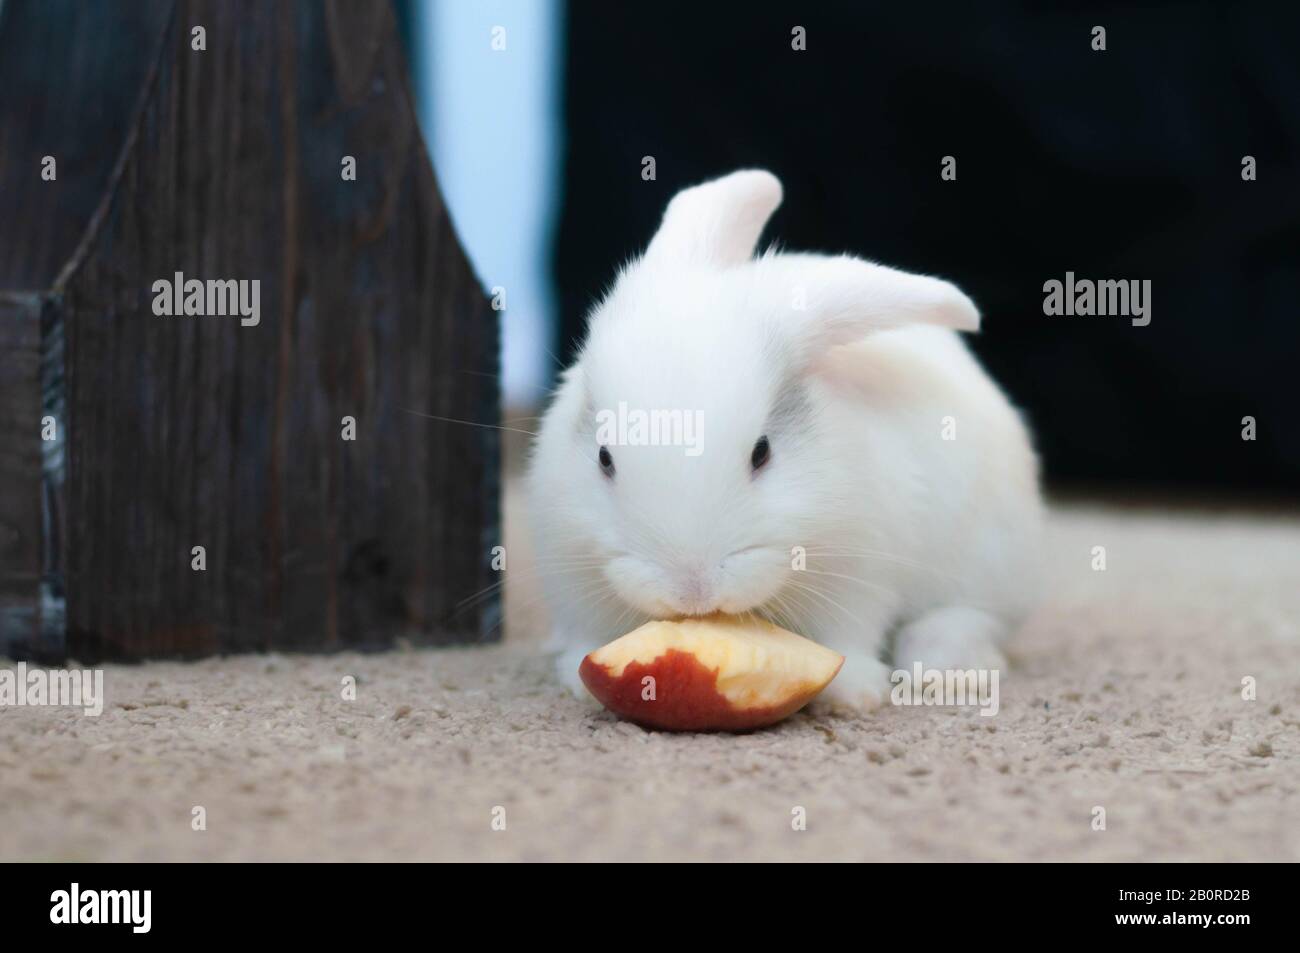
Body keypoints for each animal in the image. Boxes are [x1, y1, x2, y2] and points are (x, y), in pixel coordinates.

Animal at [527, 169, 1044, 710]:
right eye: (604, 458)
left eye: (762, 453)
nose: (693, 591)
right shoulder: (572, 573)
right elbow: (586, 633)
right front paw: (575, 681)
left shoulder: (857, 570)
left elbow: (850, 632)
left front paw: (855, 696)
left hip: (992, 558)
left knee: (972, 616)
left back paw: (945, 669)